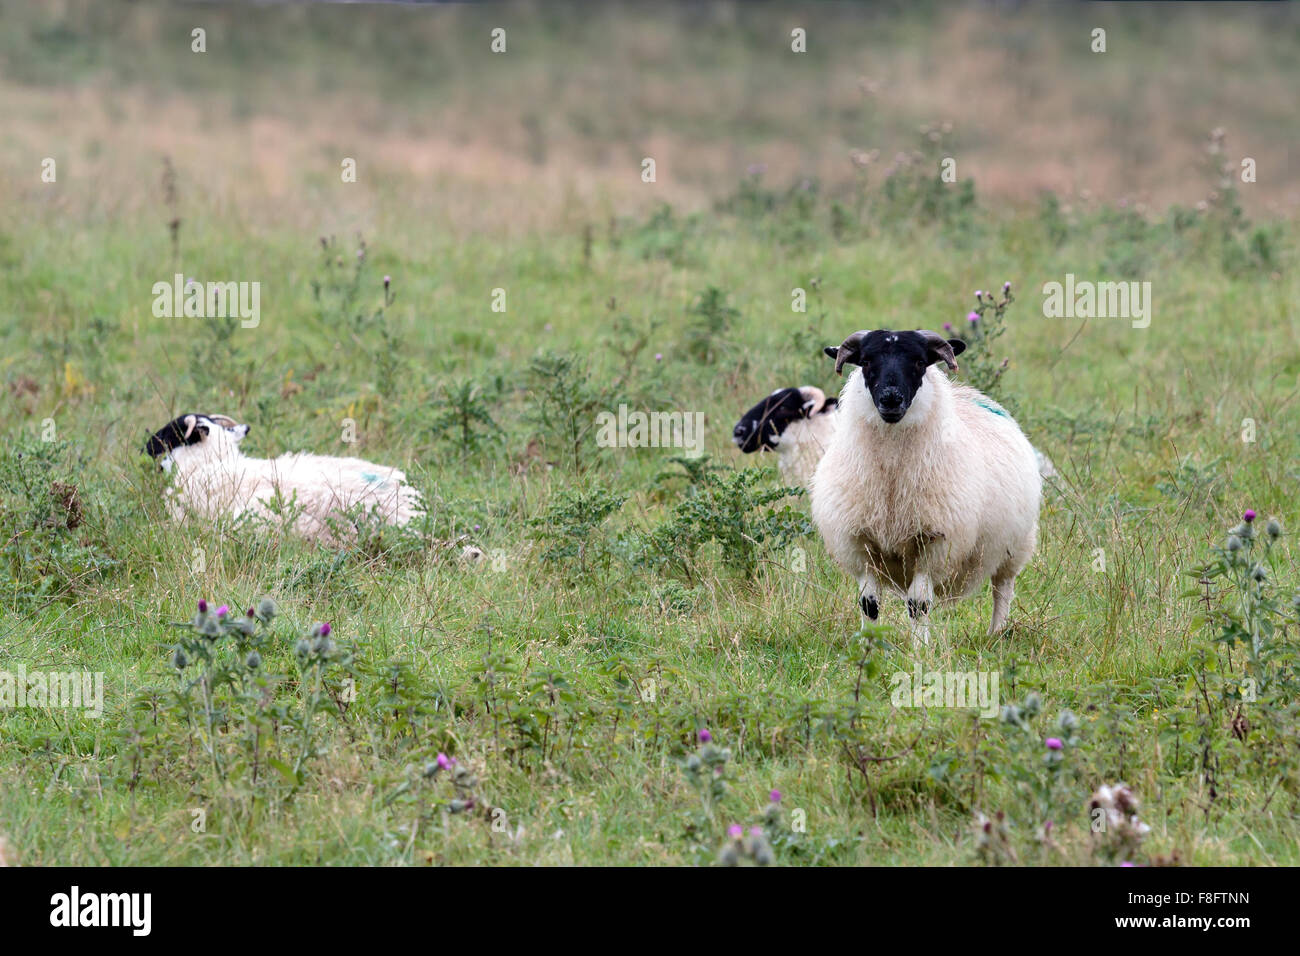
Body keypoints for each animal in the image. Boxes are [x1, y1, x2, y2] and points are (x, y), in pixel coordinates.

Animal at [809, 329, 1041, 641]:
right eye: (866, 361)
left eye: (920, 362)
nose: (891, 399)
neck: (891, 479)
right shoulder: (859, 543)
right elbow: (869, 603)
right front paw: (869, 645)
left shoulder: (934, 543)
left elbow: (918, 605)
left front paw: (920, 648)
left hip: (1015, 548)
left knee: (1002, 589)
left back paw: (996, 632)